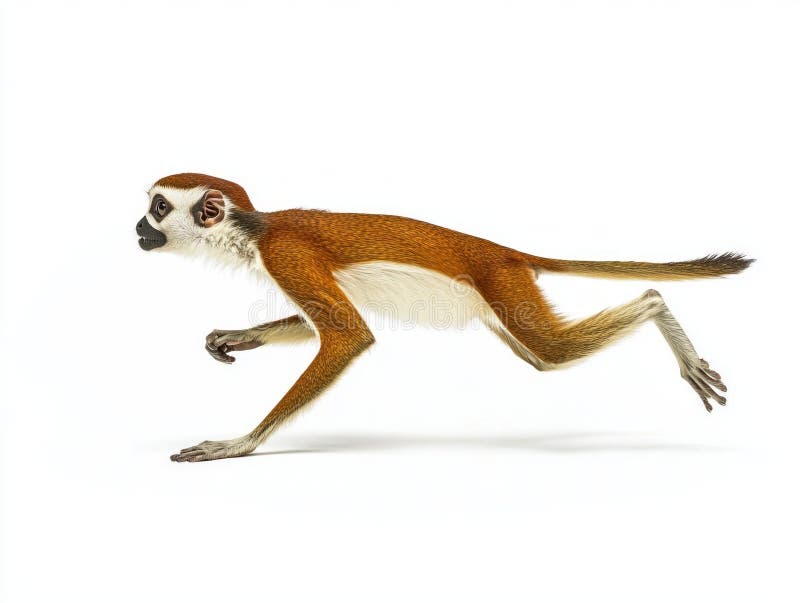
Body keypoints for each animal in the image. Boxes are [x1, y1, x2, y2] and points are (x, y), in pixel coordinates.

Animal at [135, 173, 753, 462]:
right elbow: (328, 325)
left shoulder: (284, 254)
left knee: (554, 349)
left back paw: (656, 304)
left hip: (502, 281)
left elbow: (349, 333)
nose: (138, 228)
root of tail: (502, 251)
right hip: (501, 292)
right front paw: (238, 336)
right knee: (539, 355)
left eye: (158, 208)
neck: (253, 230)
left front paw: (240, 444)